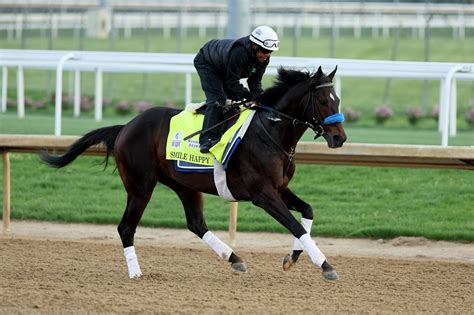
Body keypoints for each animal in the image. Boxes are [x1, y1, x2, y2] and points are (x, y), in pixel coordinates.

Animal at [40, 66, 348, 282]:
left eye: (338, 99)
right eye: (323, 100)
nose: (340, 137)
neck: (270, 131)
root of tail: (125, 127)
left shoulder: (280, 188)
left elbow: (307, 211)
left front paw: (292, 258)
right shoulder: (263, 194)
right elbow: (296, 225)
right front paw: (326, 265)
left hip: (184, 185)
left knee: (196, 223)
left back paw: (233, 258)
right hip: (141, 186)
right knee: (126, 227)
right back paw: (135, 273)